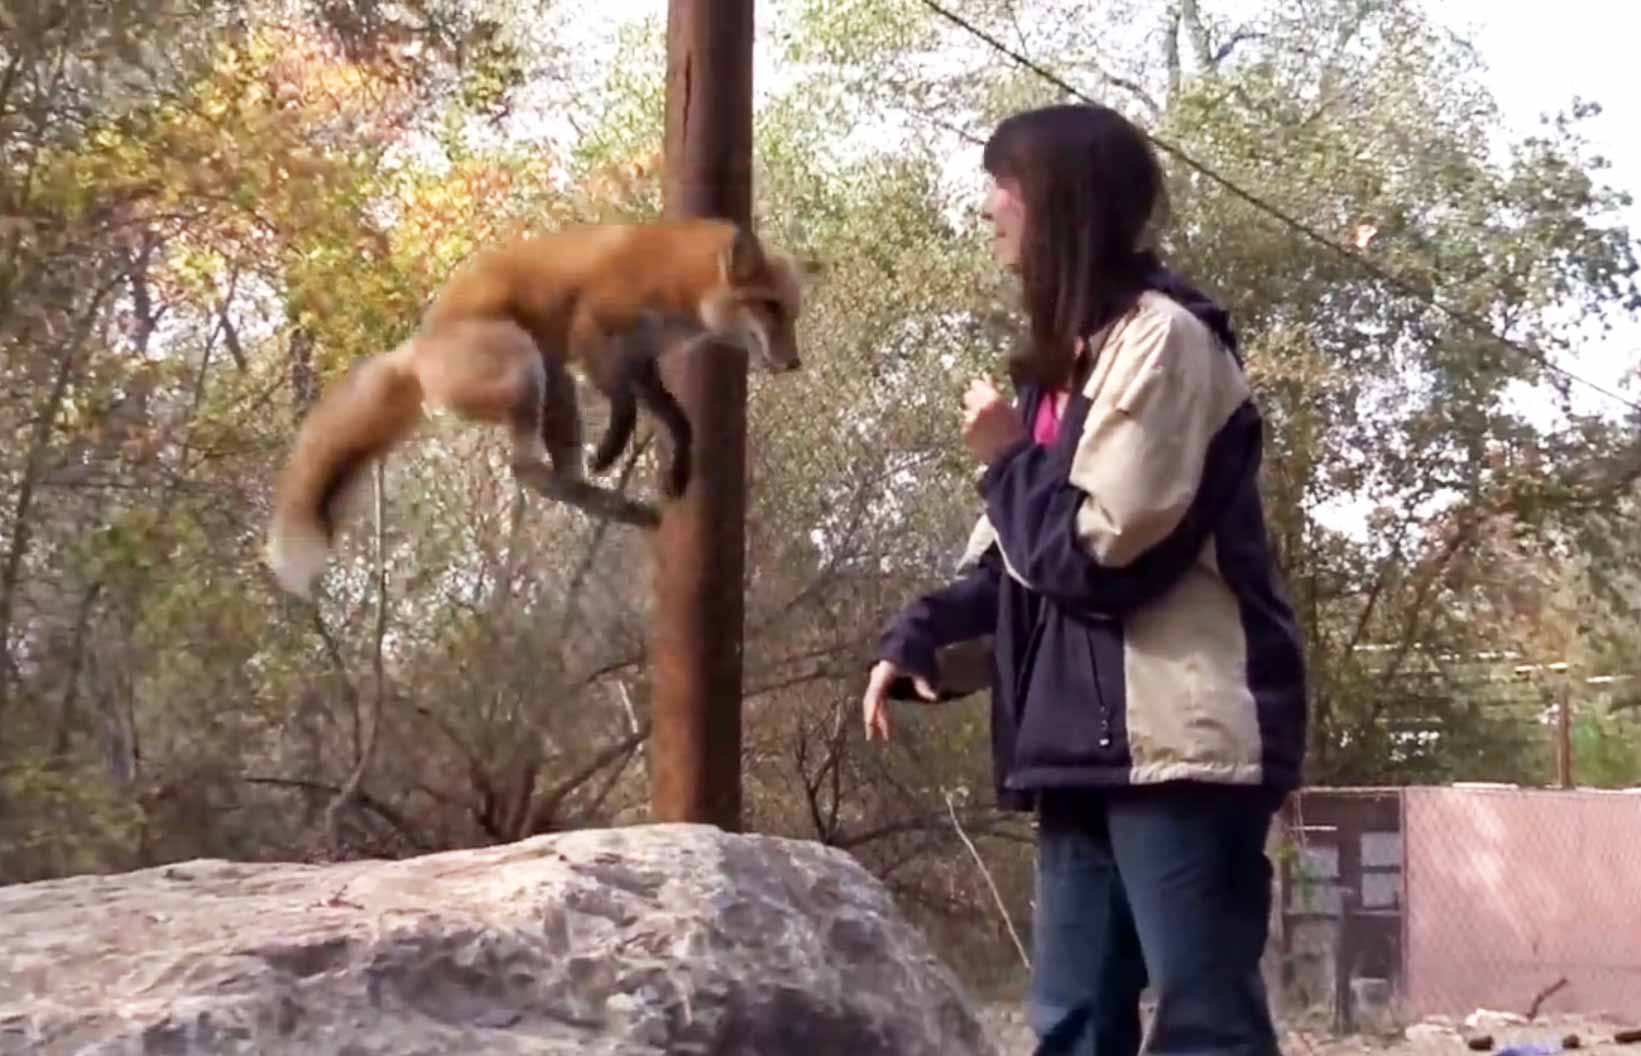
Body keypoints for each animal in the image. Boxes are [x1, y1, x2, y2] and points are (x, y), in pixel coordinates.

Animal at [264, 217, 813, 600]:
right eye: (769, 306)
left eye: (792, 313)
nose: (793, 362)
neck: (672, 277)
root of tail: (415, 351)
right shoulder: (593, 334)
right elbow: (625, 407)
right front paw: (613, 449)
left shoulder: (639, 358)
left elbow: (676, 418)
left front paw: (676, 471)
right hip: (526, 363)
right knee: (524, 468)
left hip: (558, 386)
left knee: (558, 480)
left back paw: (622, 507)